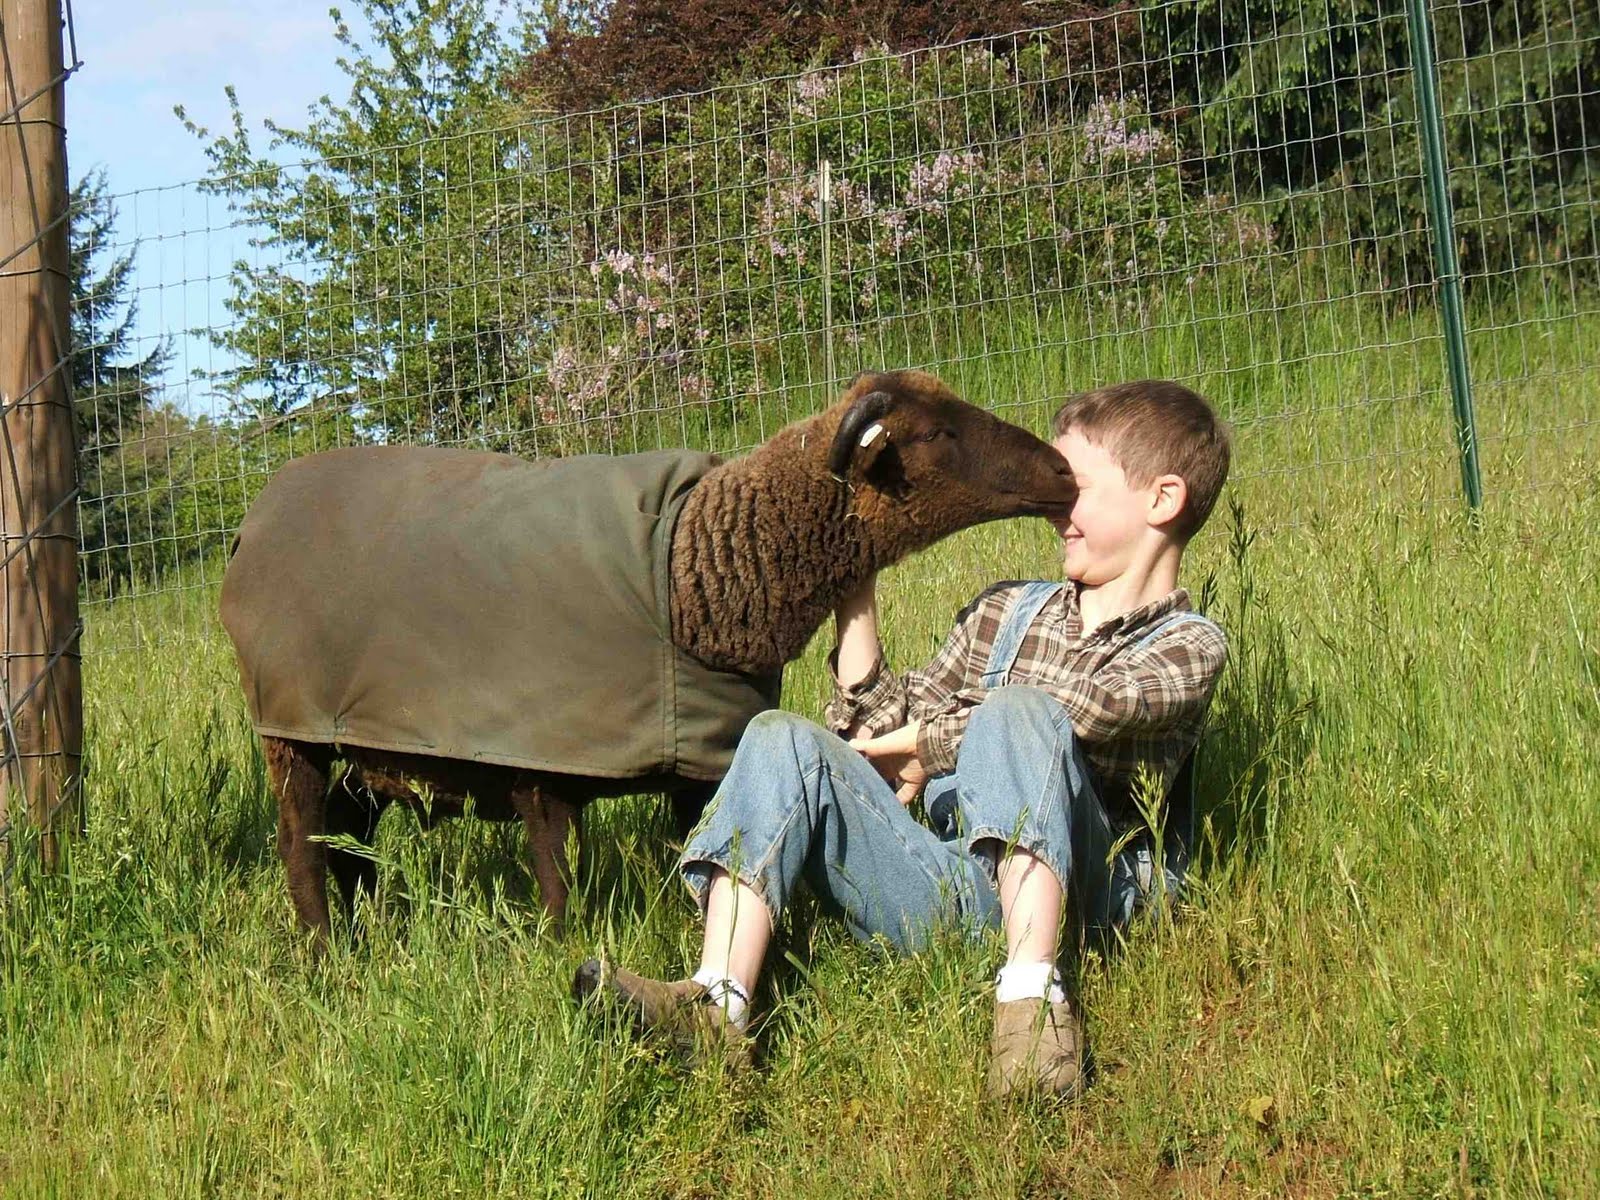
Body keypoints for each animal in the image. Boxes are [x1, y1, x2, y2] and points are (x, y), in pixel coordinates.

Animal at [220, 370, 1077, 945]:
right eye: (936, 434)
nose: (1065, 473)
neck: (699, 572)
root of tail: (252, 519)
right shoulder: (541, 766)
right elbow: (558, 880)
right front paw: (560, 955)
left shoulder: (699, 762)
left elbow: (707, 850)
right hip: (290, 734)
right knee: (302, 843)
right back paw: (325, 952)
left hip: (366, 744)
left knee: (346, 832)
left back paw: (363, 929)